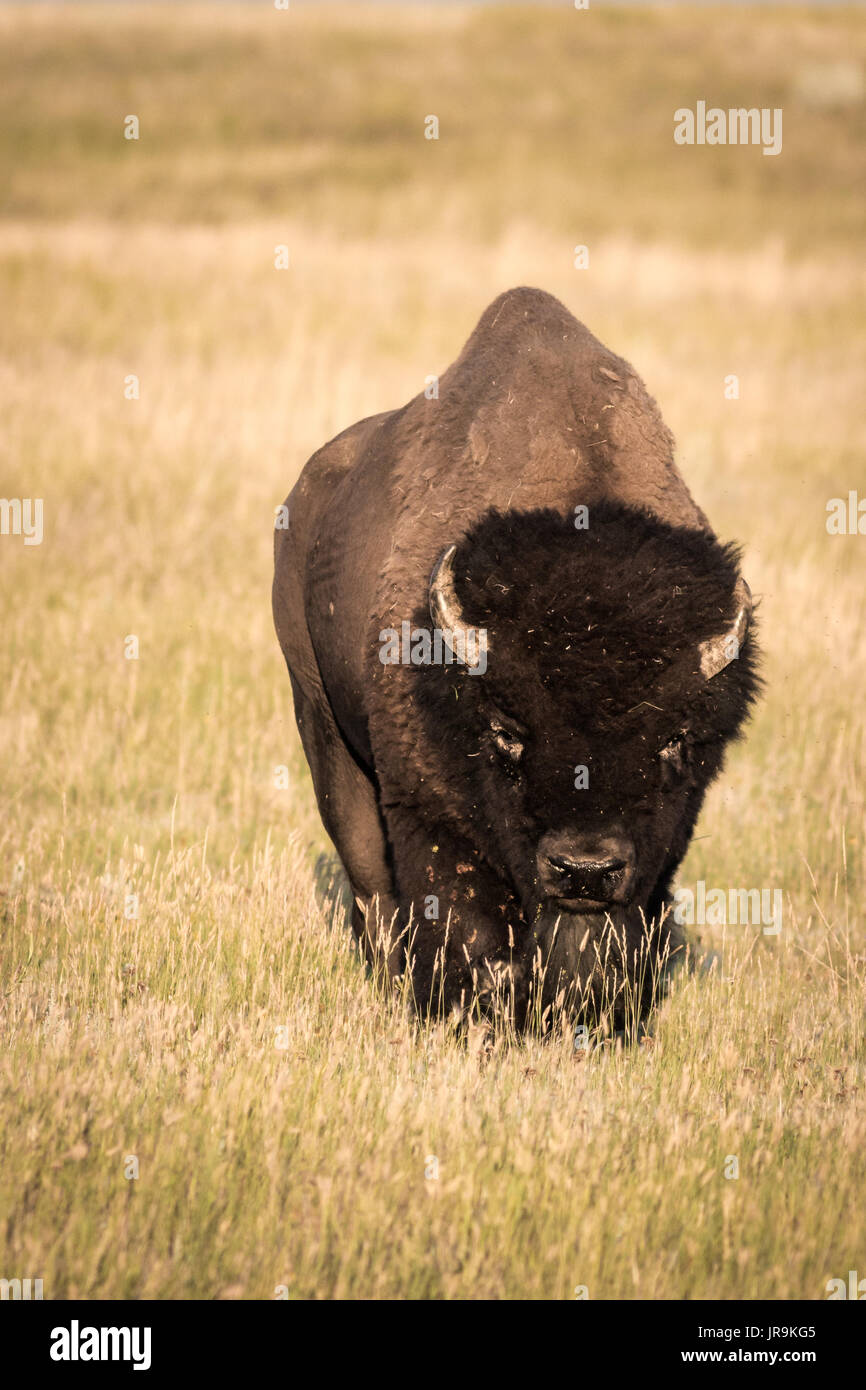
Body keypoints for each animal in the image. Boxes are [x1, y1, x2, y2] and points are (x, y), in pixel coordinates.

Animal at [272, 288, 761, 1031]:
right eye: (507, 730)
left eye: (675, 738)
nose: (583, 870)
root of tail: (305, 495)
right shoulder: (429, 812)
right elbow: (468, 929)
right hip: (321, 723)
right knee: (370, 883)